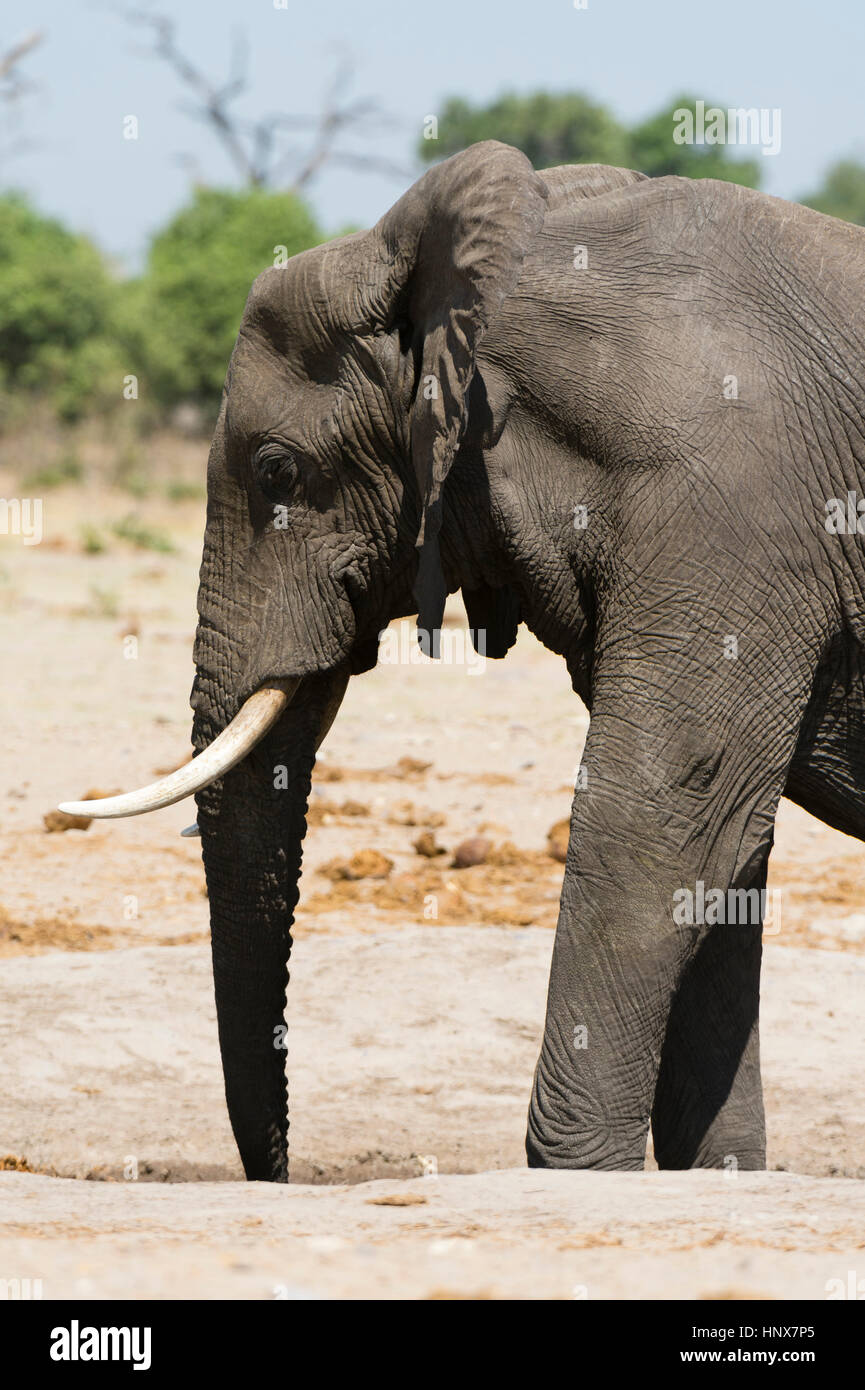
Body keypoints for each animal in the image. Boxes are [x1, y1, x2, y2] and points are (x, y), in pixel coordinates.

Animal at [61, 140, 865, 1181]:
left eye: (279, 473)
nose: (280, 1174)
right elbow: (728, 844)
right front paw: (715, 1180)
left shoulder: (733, 515)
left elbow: (662, 811)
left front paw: (579, 1179)